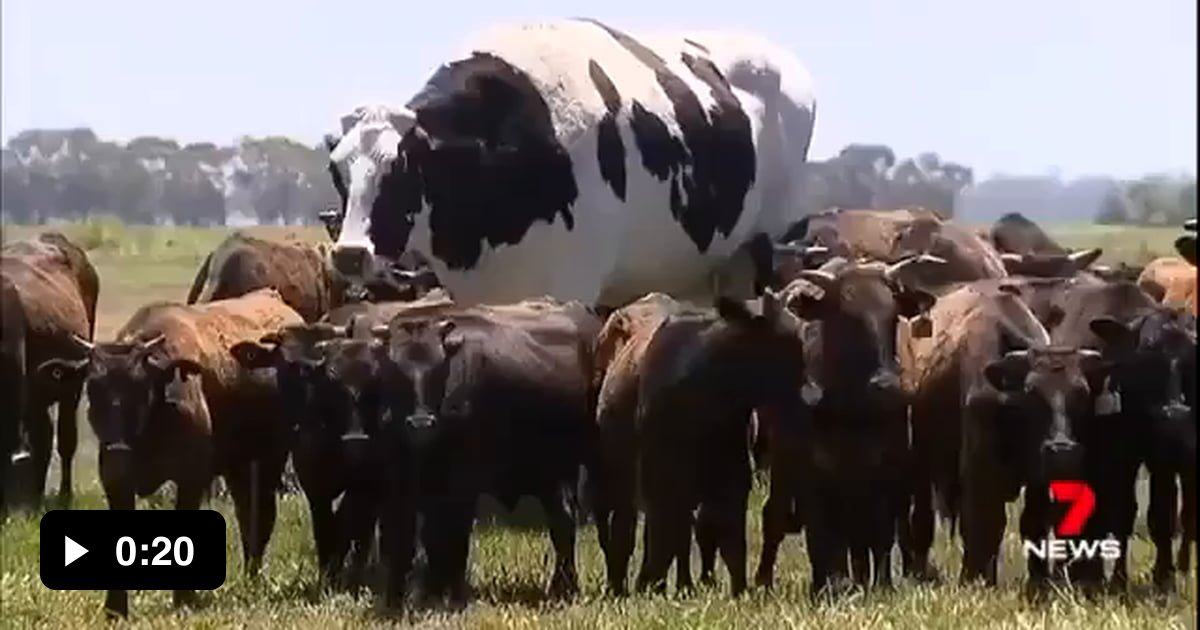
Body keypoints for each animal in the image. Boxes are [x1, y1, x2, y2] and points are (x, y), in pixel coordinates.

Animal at [35, 288, 303, 618]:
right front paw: (115, 608)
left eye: (140, 387)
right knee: (248, 515)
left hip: (269, 459)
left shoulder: (192, 478)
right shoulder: (116, 481)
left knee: (261, 517)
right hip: (238, 465)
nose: (118, 450)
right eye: (93, 388)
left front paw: (184, 598)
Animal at [592, 290, 808, 598]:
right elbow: (664, 539)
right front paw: (649, 585)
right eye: (791, 342)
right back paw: (621, 585)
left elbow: (728, 541)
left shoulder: (731, 481)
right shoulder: (661, 481)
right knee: (626, 530)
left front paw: (738, 590)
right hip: (621, 478)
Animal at [755, 254, 942, 594]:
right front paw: (829, 585)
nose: (887, 385)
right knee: (775, 515)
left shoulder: (886, 466)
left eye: (892, 318)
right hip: (782, 460)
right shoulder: (811, 467)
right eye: (846, 319)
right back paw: (768, 579)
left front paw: (880, 583)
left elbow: (879, 533)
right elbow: (822, 534)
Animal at [899, 281, 1115, 590]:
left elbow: (1033, 524)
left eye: (1082, 394)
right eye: (1030, 393)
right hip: (922, 464)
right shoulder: (980, 472)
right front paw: (976, 578)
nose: (1062, 450)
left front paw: (1039, 580)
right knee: (923, 518)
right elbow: (984, 522)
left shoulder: (1039, 479)